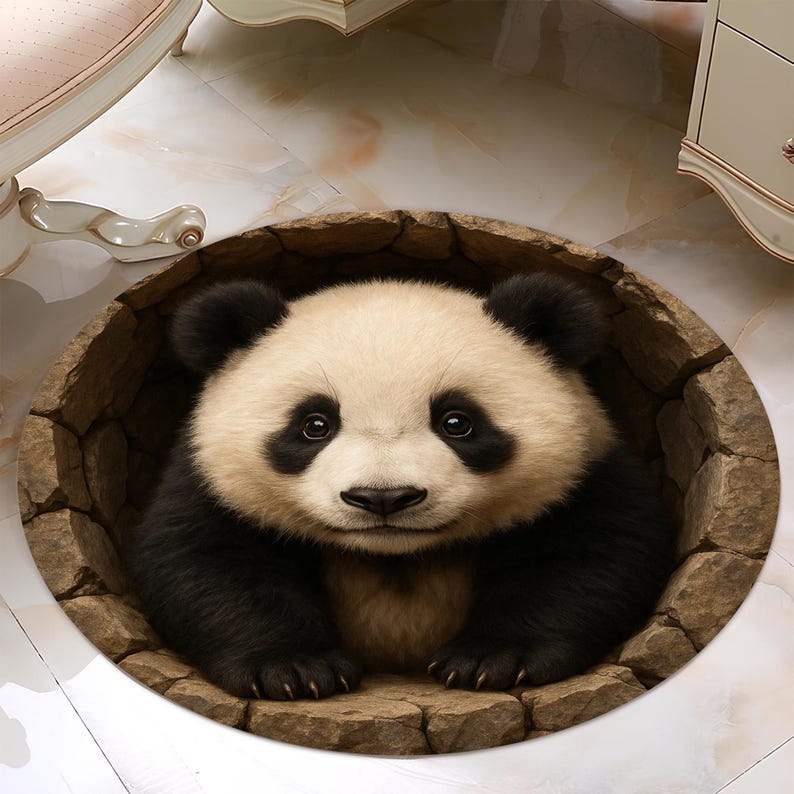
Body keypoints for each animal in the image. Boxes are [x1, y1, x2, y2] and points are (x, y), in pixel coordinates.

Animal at [125, 273, 673, 701]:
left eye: (457, 422)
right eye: (314, 424)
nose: (382, 498)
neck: (394, 557)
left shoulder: (587, 473)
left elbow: (587, 560)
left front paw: (493, 659)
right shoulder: (212, 484)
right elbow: (209, 566)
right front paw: (293, 669)